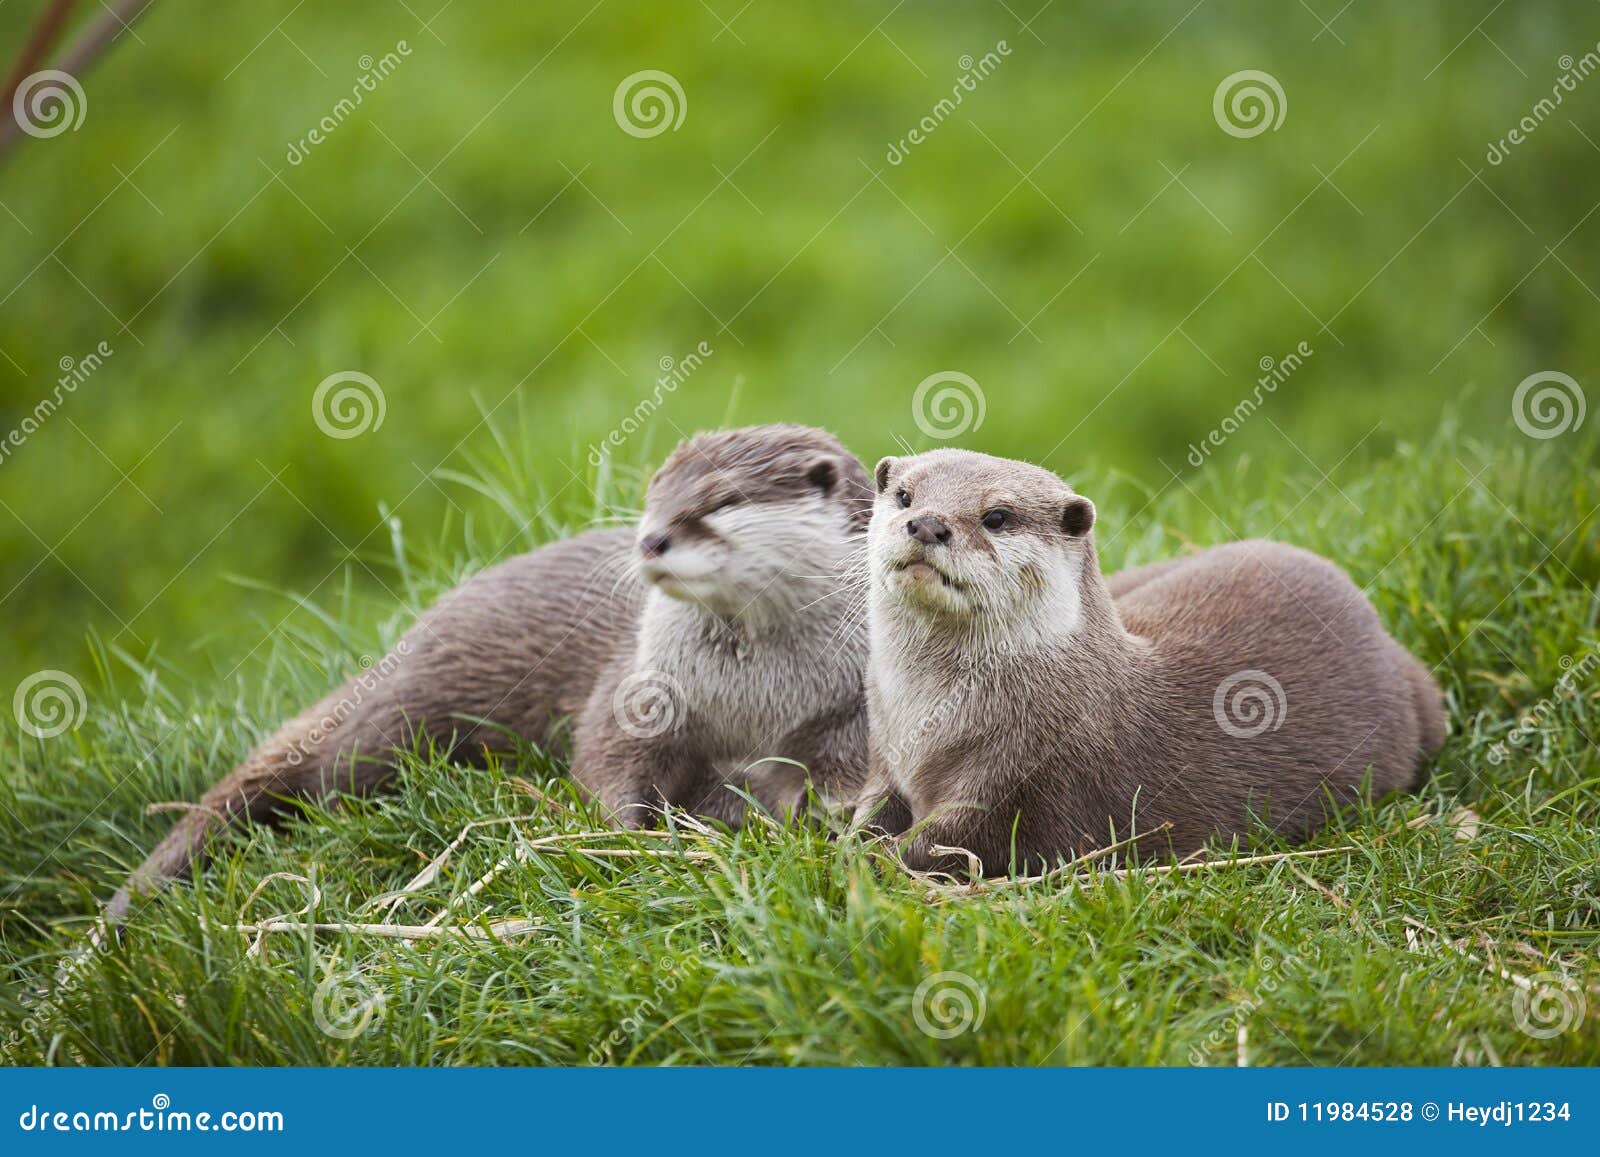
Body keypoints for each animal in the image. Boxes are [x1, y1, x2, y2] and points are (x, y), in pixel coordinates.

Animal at [108, 424, 872, 923]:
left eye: (720, 501)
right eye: (654, 490)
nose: (650, 538)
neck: (755, 697)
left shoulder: (849, 707)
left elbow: (837, 776)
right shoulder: (639, 687)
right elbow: (606, 755)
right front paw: (623, 831)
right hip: (403, 714)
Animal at [855, 448, 1446, 874]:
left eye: (997, 516)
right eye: (905, 495)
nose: (927, 523)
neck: (929, 719)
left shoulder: (1021, 776)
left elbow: (952, 842)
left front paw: (868, 861)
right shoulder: (885, 749)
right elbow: (873, 805)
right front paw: (849, 838)